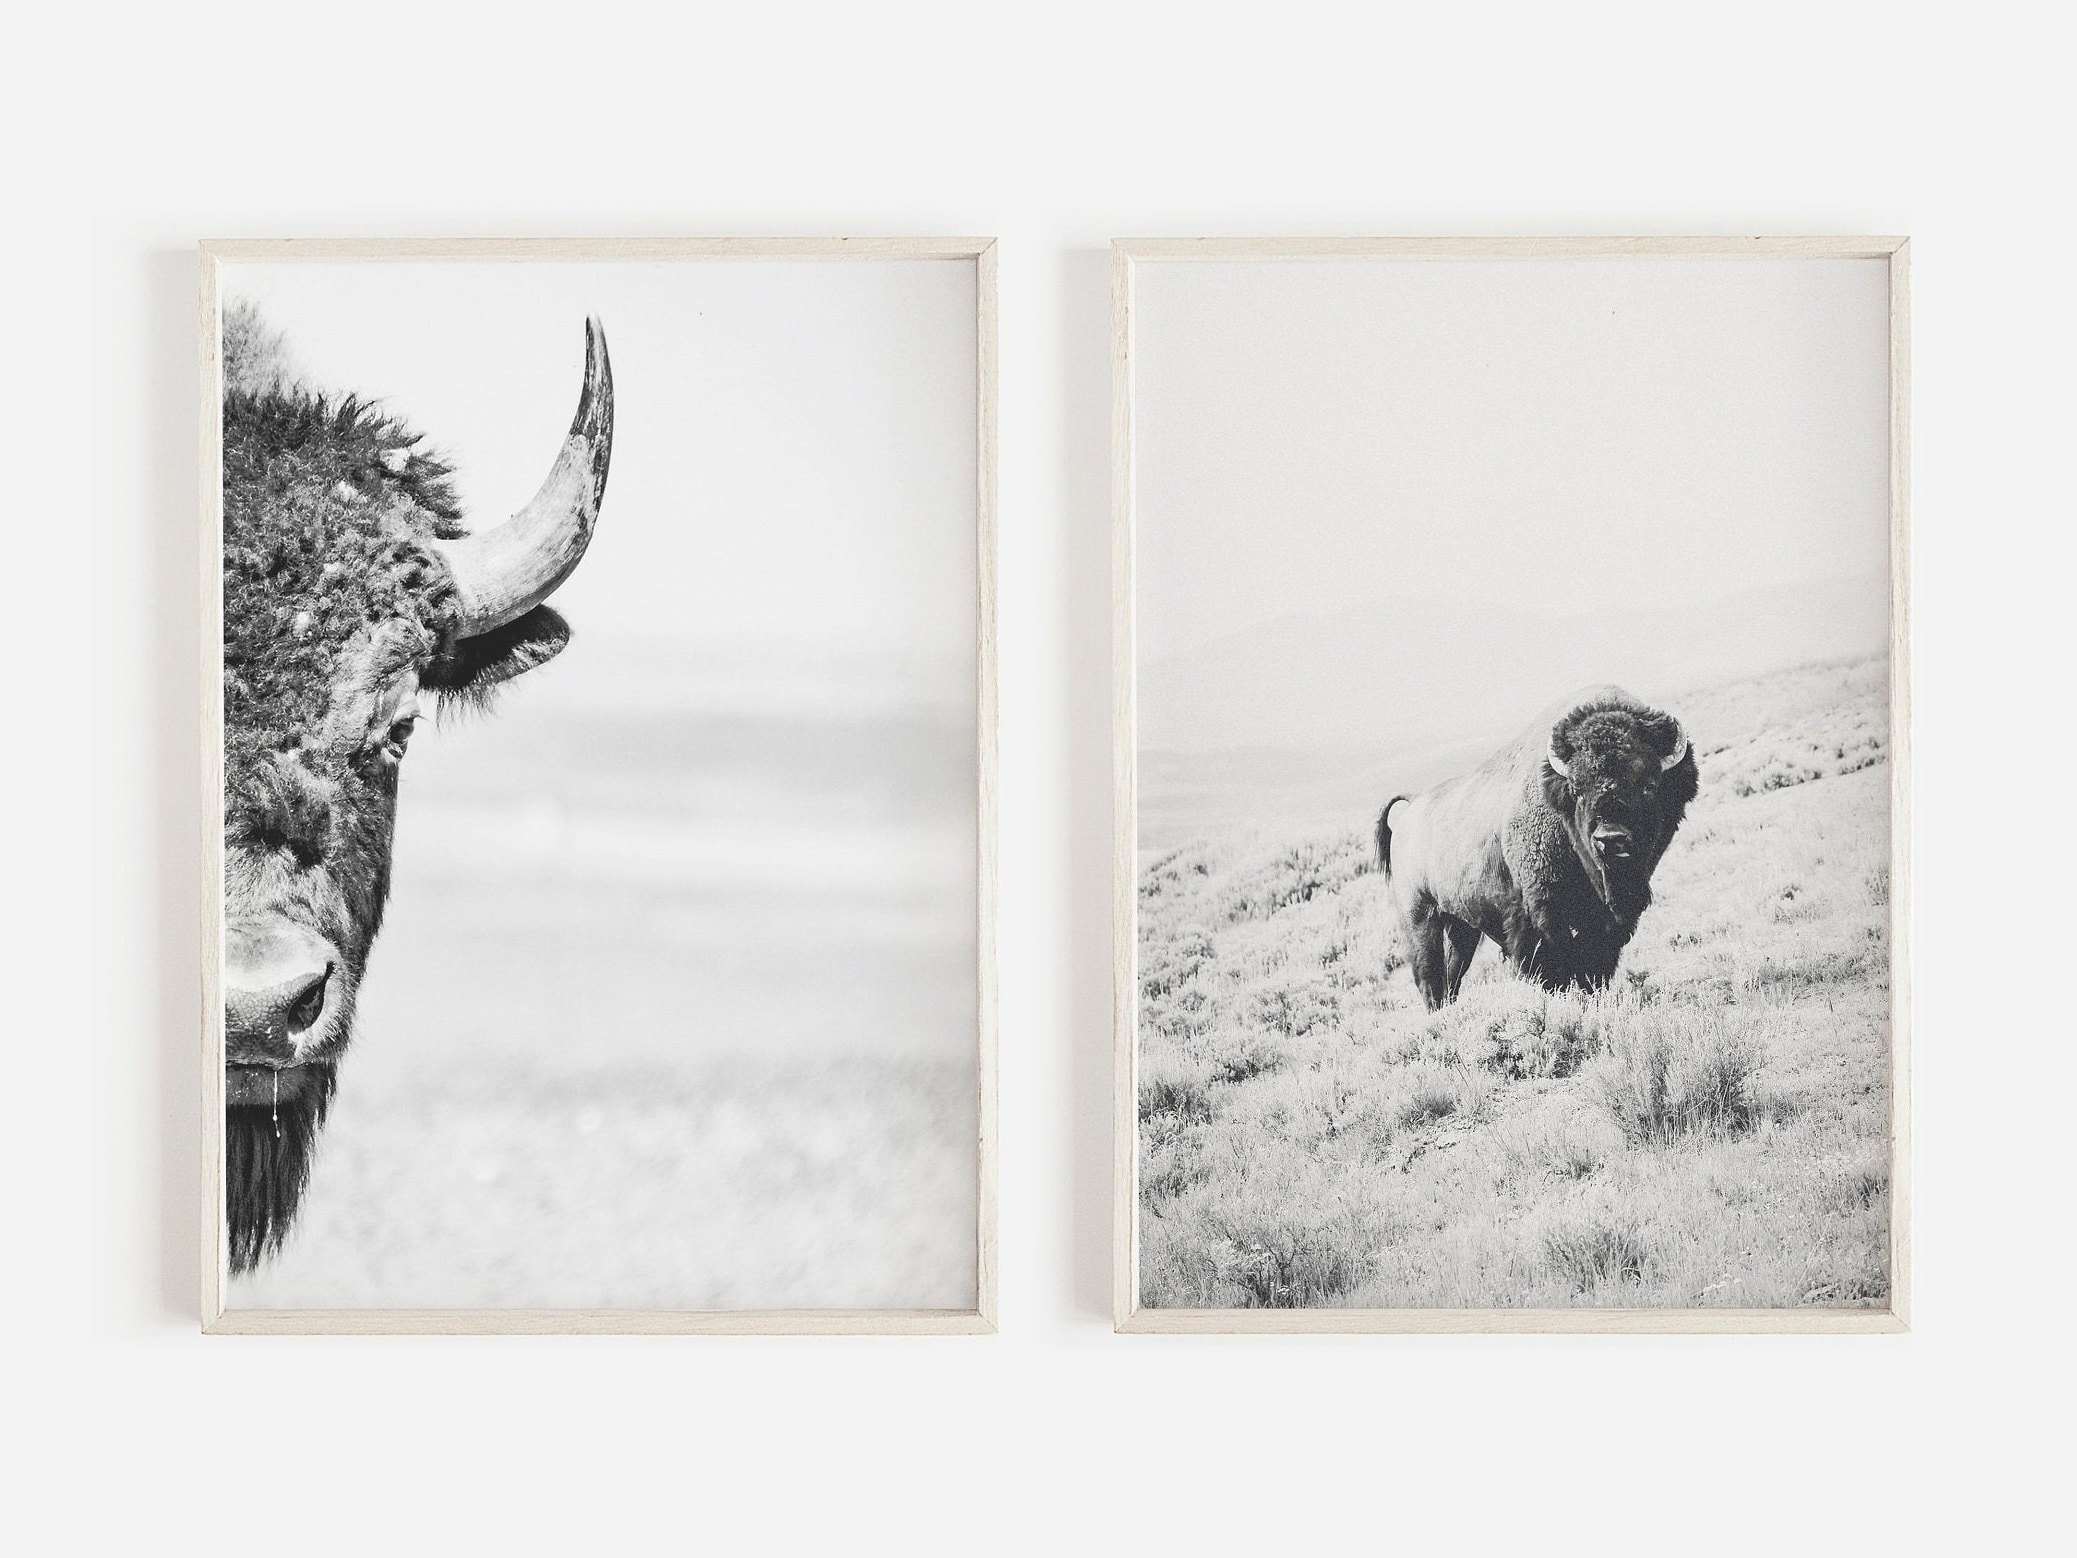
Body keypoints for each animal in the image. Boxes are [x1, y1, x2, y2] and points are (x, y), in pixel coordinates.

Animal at [1376, 688, 1698, 1008]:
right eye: (1577, 790)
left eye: (1649, 785)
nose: (1610, 838)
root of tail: (1412, 806)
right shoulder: (1539, 911)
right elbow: (1551, 965)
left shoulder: (1606, 920)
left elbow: (1594, 964)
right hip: (1420, 916)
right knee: (1429, 975)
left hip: (1461, 925)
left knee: (1453, 972)